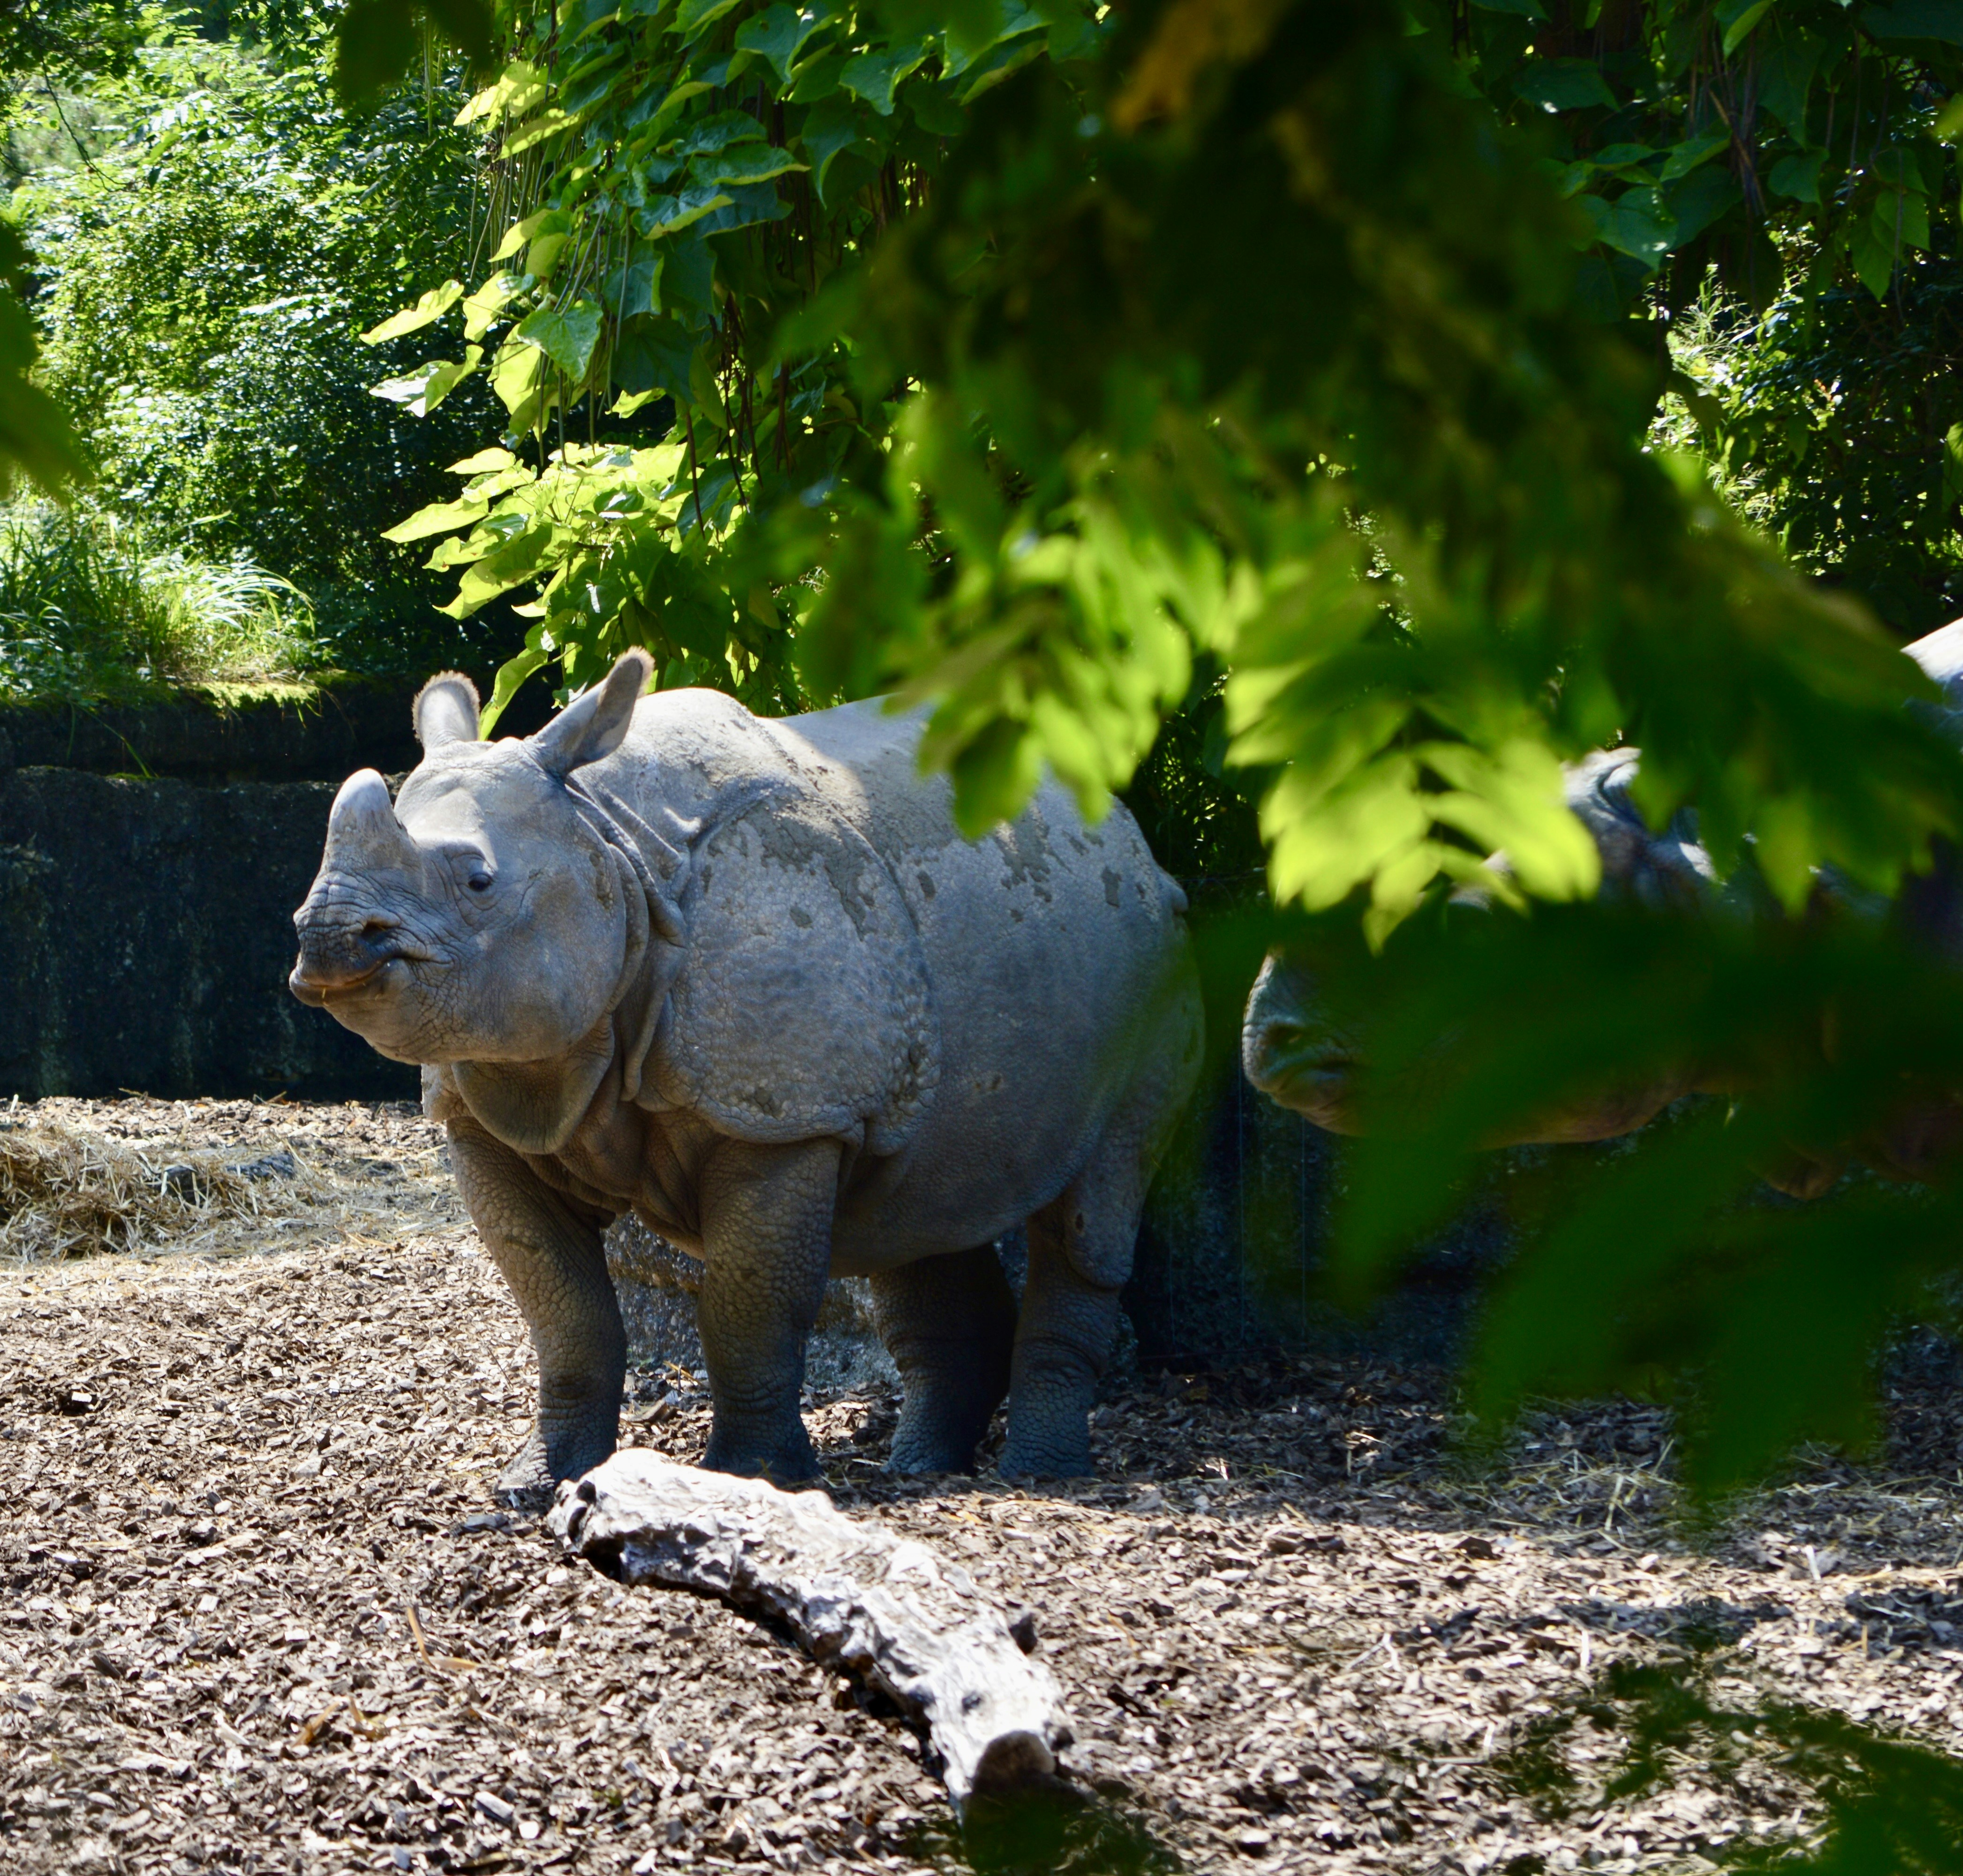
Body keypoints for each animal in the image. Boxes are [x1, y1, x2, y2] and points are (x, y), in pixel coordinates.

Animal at [290, 651, 1201, 1499]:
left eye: (479, 881)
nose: (330, 935)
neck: (610, 844)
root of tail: (1127, 836)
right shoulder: (492, 1109)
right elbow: (561, 1310)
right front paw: (537, 1482)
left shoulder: (785, 1118)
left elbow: (747, 1304)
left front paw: (752, 1479)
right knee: (921, 1204)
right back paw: (921, 1468)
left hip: (1155, 952)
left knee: (1091, 1214)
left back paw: (1037, 1476)